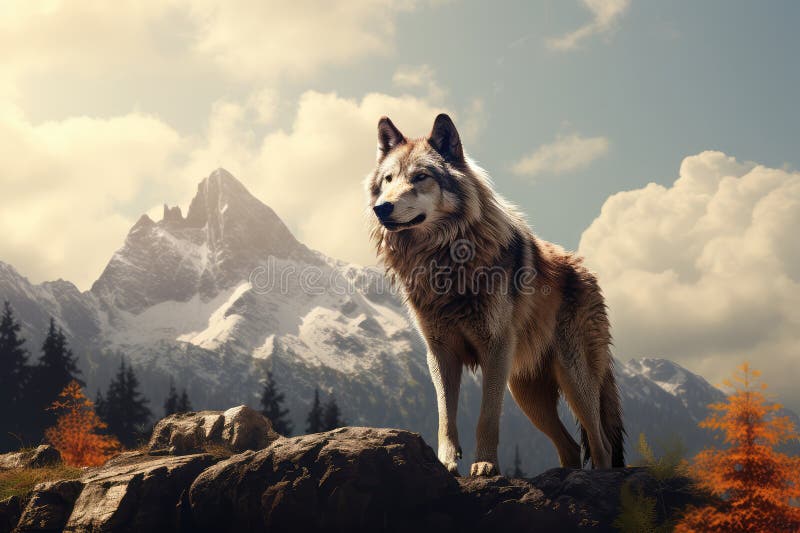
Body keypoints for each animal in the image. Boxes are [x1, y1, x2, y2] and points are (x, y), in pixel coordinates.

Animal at [365, 114, 624, 476]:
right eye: (388, 179)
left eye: (420, 177)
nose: (381, 208)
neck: (442, 261)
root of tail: (587, 271)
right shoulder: (440, 353)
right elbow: (446, 417)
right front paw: (446, 462)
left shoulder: (495, 348)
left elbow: (486, 418)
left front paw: (485, 464)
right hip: (527, 394)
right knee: (572, 447)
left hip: (575, 379)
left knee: (601, 443)